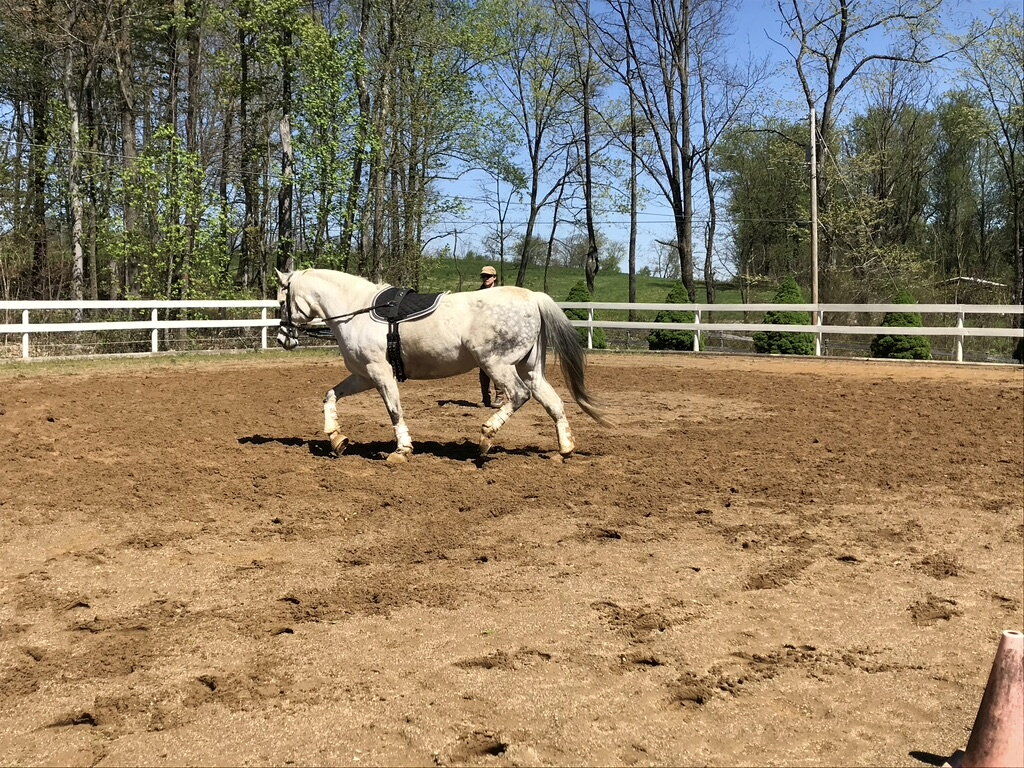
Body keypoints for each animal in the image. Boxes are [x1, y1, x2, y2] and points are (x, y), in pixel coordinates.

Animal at [274, 268, 607, 462]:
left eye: (280, 301)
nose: (281, 338)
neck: (356, 310)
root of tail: (532, 297)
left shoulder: (380, 372)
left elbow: (394, 410)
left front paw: (402, 450)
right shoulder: (363, 375)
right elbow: (330, 396)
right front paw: (337, 438)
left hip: (497, 364)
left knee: (518, 395)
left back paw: (486, 438)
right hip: (530, 368)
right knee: (553, 403)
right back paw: (564, 449)